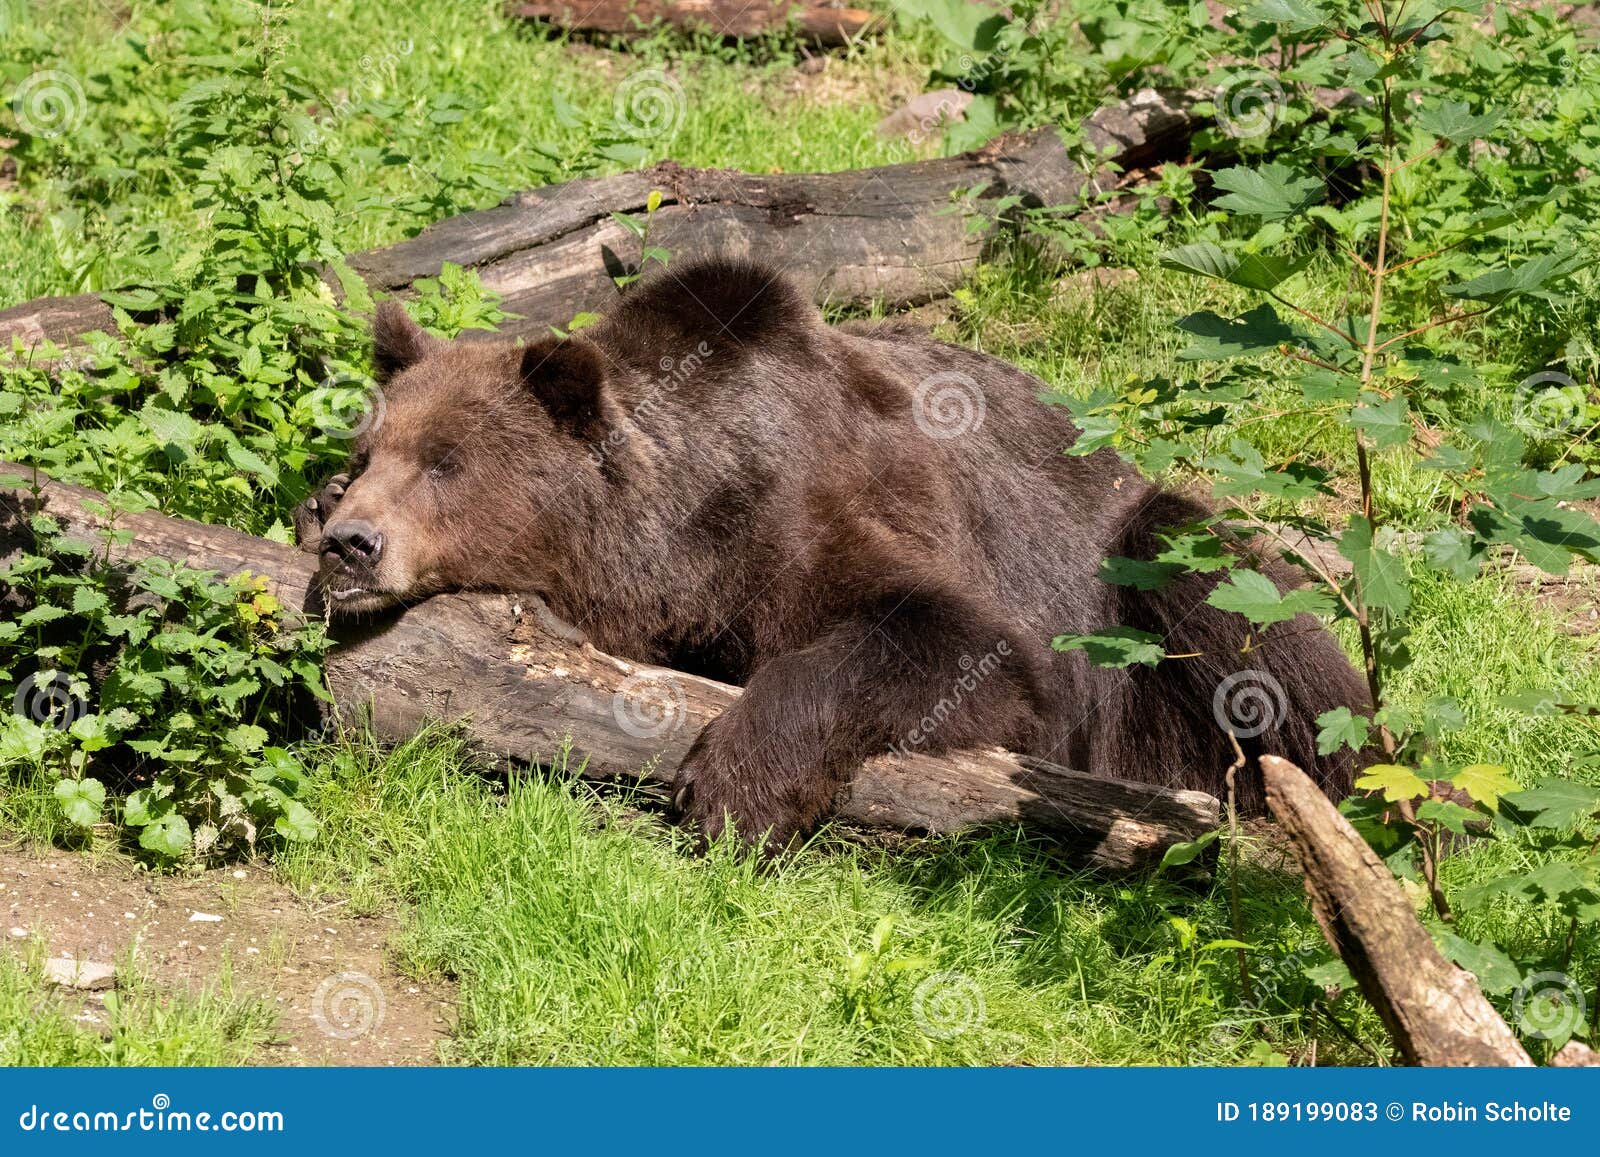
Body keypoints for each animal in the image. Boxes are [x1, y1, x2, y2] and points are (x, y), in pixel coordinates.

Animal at [296, 256, 1372, 848]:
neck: (683, 537)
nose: (355, 541)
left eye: (447, 462)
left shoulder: (822, 514)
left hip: (1135, 572)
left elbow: (959, 644)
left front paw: (732, 786)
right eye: (366, 452)